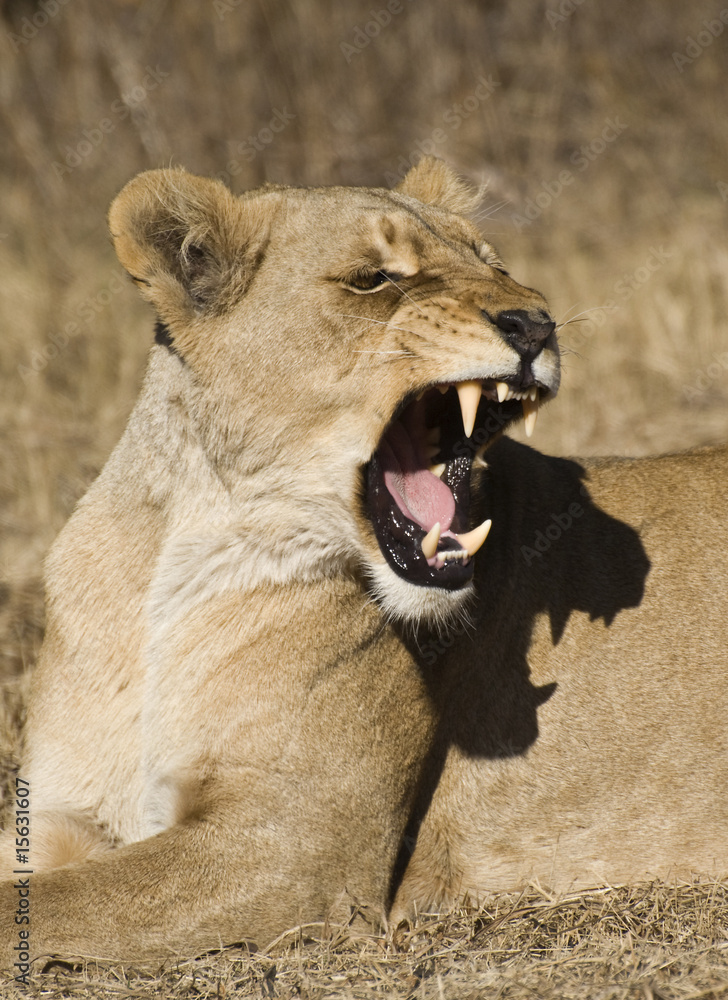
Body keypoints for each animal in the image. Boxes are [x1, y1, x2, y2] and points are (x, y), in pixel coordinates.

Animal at [2, 157, 727, 967]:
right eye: (374, 279)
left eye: (495, 265)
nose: (536, 324)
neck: (182, 555)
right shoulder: (62, 812)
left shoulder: (291, 847)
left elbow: (38, 906)